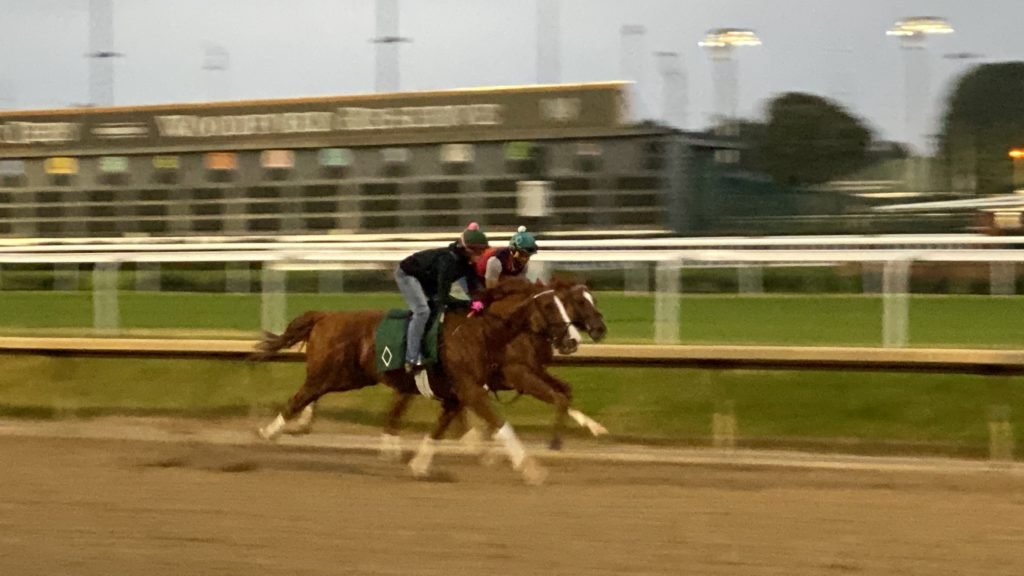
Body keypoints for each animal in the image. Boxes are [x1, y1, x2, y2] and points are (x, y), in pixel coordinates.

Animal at [248, 276, 581, 481]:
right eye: (549, 305)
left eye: (568, 305)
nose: (572, 340)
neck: (482, 331)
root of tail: (326, 316)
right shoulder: (472, 390)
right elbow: (501, 425)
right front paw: (531, 469)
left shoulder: (456, 395)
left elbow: (437, 430)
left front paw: (419, 465)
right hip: (329, 374)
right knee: (299, 397)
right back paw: (268, 432)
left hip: (348, 377)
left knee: (310, 396)